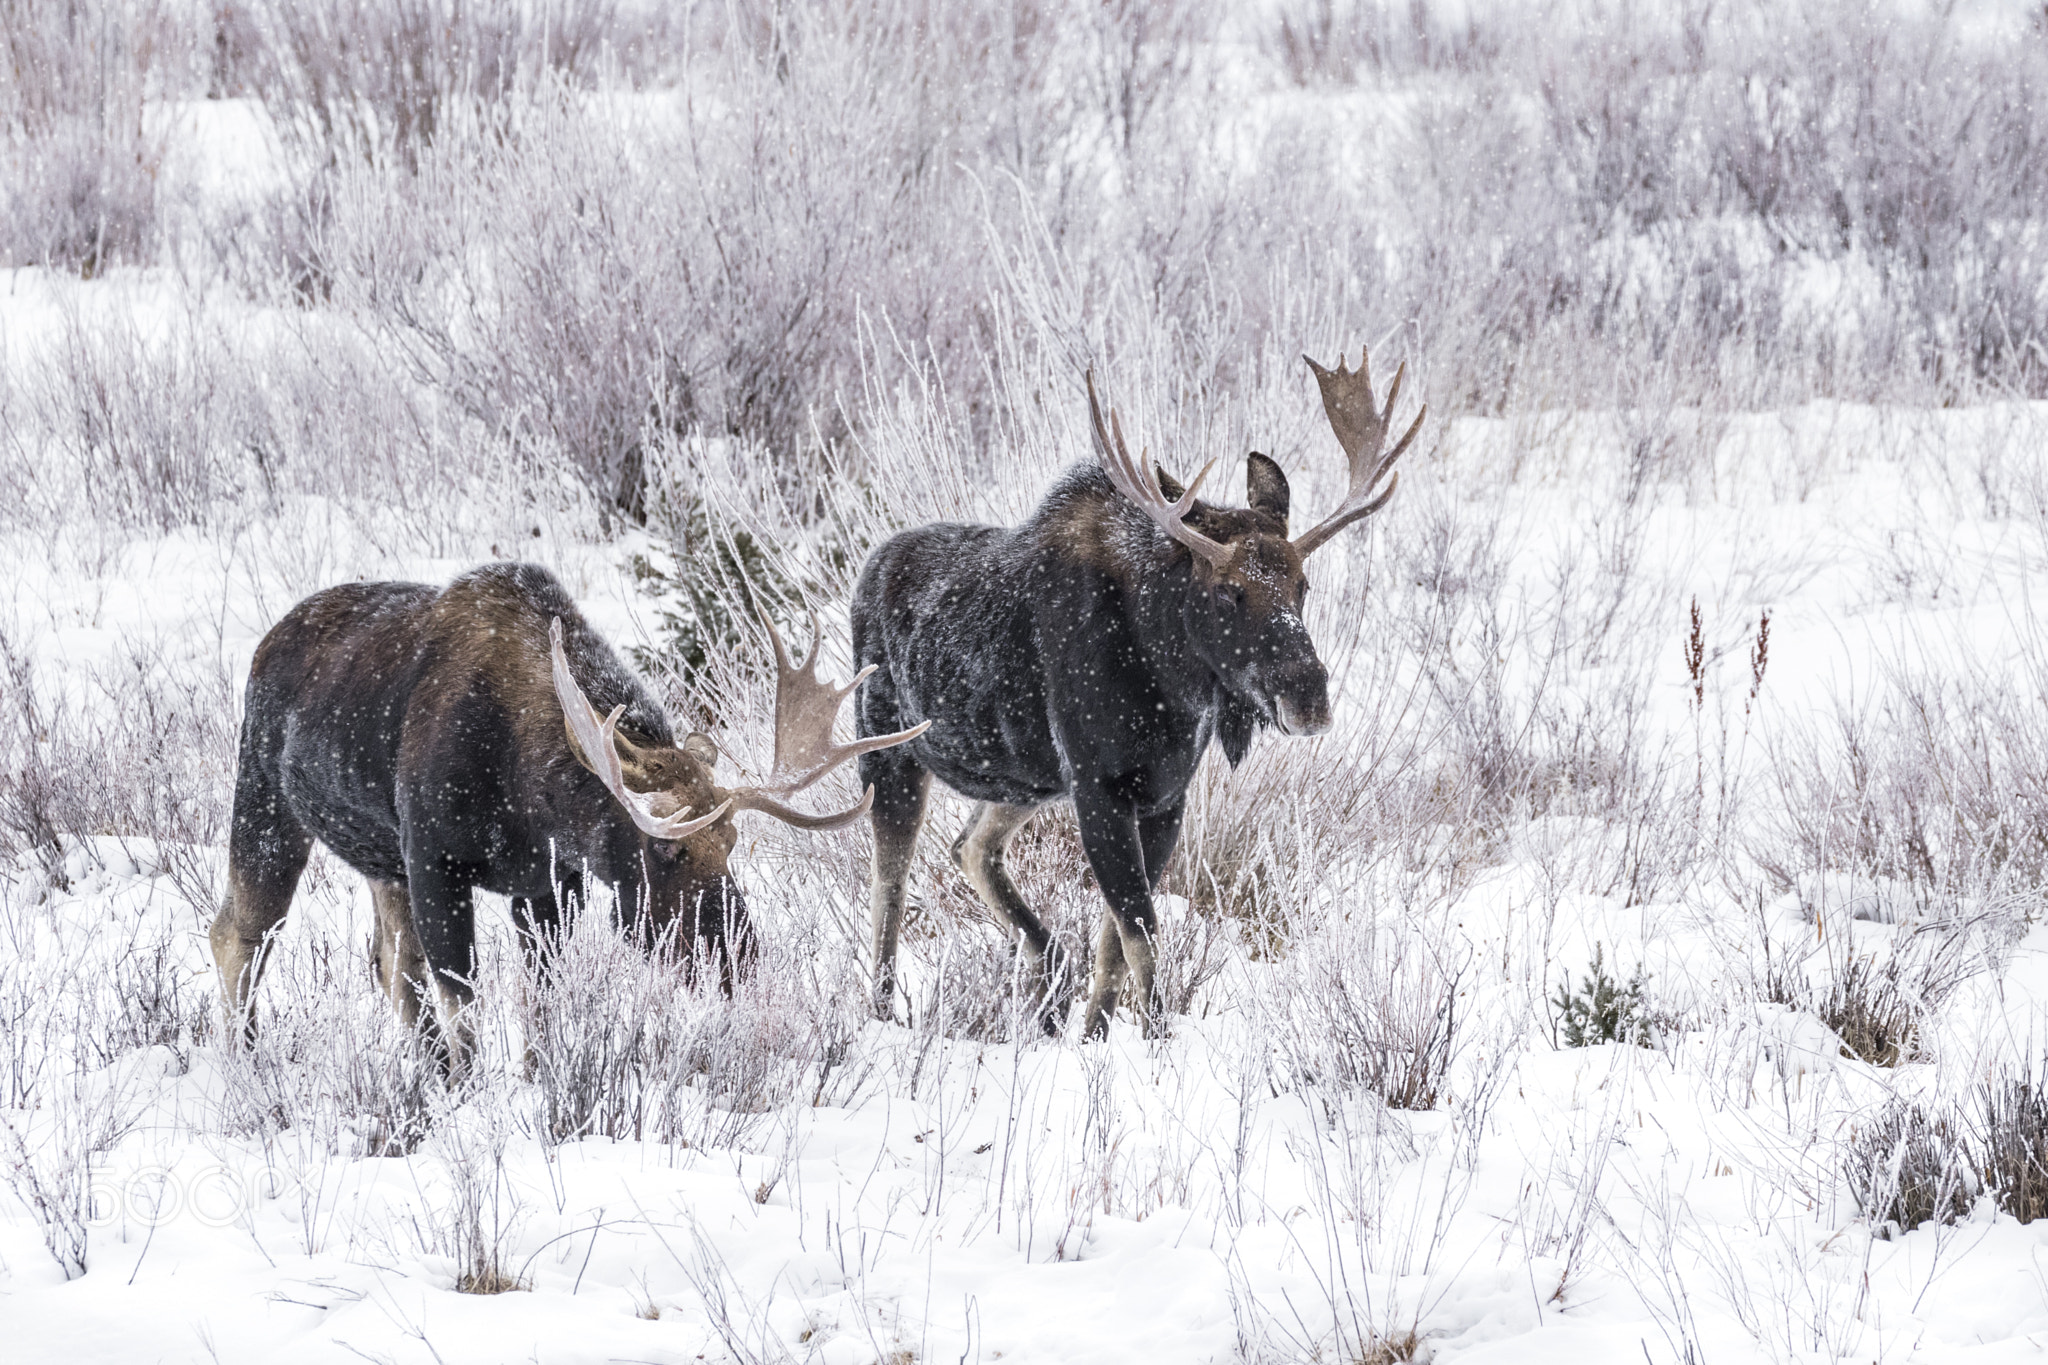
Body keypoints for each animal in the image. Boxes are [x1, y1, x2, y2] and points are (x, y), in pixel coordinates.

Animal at [209, 561, 925, 1071]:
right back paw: (250, 1061)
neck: (528, 795)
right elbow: (463, 1000)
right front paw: (469, 1089)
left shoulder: (549, 884)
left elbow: (539, 1006)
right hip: (267, 801)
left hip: (380, 860)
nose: (740, 957)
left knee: (387, 962)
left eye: (731, 841)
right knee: (238, 934)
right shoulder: (437, 862)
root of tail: (266, 643)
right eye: (666, 849)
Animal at [851, 349, 1424, 1038]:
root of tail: (868, 569)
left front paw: (1098, 1034)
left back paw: (1046, 969)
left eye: (1302, 583)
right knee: (889, 883)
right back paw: (883, 1012)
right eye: (1228, 591)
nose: (1308, 696)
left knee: (971, 848)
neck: (1168, 684)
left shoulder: (1163, 796)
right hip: (888, 753)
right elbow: (1142, 933)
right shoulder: (1099, 788)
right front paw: (1156, 1039)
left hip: (1023, 781)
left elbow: (1115, 942)